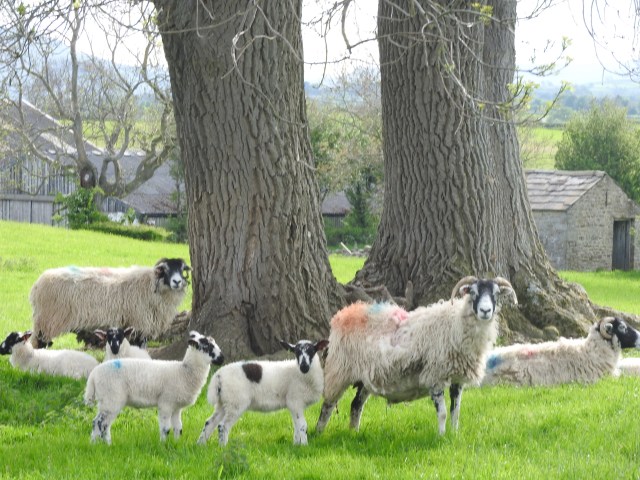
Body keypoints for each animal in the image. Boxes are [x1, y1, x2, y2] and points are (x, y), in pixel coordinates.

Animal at [30, 258, 191, 347]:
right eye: (165, 269)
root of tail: (36, 286)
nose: (177, 282)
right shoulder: (139, 323)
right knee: (38, 343)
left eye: (182, 269)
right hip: (47, 320)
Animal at [84, 330, 223, 445]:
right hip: (111, 398)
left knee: (98, 422)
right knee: (101, 423)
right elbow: (166, 429)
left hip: (106, 400)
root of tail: (94, 374)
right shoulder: (166, 402)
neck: (184, 372)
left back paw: (97, 443)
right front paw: (163, 445)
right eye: (206, 346)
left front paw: (176, 444)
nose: (222, 358)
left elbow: (178, 428)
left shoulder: (176, 407)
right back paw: (102, 444)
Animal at [197, 339, 329, 446]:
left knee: (209, 422)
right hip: (236, 402)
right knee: (222, 426)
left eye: (312, 351)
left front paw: (296, 444)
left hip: (224, 402)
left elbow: (297, 426)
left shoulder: (294, 405)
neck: (300, 374)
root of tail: (218, 377)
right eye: (296, 352)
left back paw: (201, 445)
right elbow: (302, 426)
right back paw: (222, 447)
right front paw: (304, 446)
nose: (304, 366)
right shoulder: (295, 401)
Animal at [315, 276, 516, 437]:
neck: (455, 324)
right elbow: (443, 412)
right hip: (339, 371)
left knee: (356, 404)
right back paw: (318, 433)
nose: (485, 311)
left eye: (496, 293)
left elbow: (455, 412)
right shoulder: (434, 376)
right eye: (473, 292)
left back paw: (354, 433)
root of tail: (345, 312)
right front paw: (441, 437)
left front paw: (454, 435)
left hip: (366, 378)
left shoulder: (457, 379)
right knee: (327, 405)